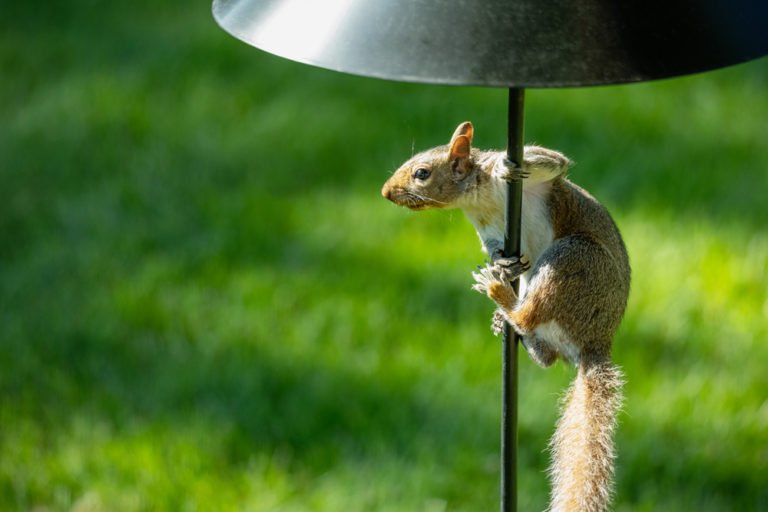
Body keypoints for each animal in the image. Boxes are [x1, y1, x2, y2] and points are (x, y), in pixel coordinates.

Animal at [381, 121, 630, 512]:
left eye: (422, 173)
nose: (386, 192)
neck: (477, 200)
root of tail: (596, 344)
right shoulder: (490, 231)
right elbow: (496, 248)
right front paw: (501, 262)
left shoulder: (541, 180)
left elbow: (552, 161)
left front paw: (503, 168)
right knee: (546, 353)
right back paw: (509, 321)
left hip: (573, 258)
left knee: (531, 315)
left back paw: (501, 297)